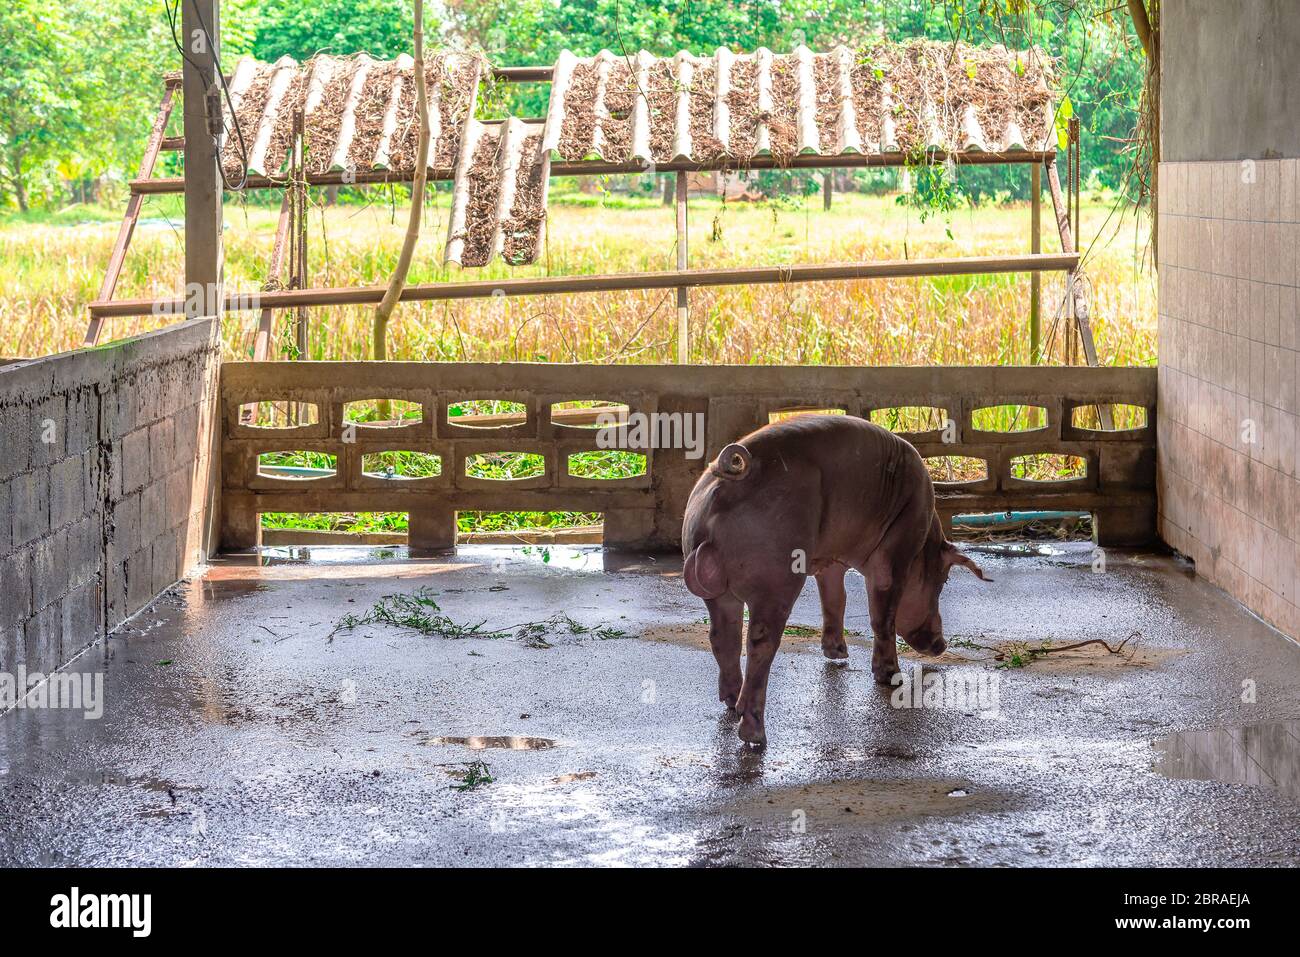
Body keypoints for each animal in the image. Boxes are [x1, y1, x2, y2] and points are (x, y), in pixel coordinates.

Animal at [681, 414, 989, 746]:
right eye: (943, 580)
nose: (942, 643)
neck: (923, 545)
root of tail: (730, 475)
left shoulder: (830, 562)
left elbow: (835, 600)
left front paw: (839, 653)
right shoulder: (894, 556)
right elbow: (882, 617)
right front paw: (892, 677)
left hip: (719, 593)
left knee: (722, 637)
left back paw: (732, 701)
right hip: (776, 580)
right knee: (759, 643)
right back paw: (755, 735)